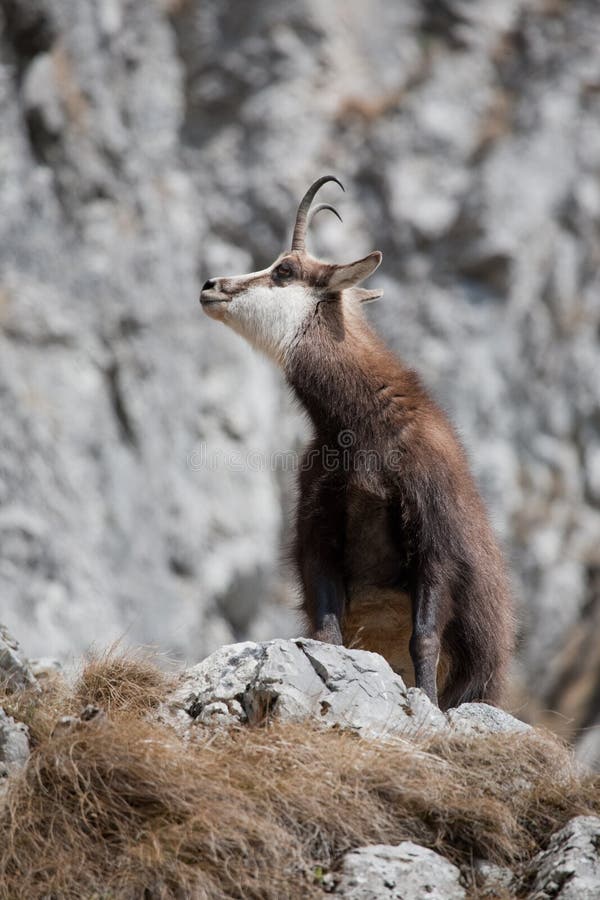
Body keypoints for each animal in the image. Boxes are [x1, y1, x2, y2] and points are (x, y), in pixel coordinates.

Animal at [200, 176, 515, 709]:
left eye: (284, 270)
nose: (210, 286)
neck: (362, 426)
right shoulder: (319, 534)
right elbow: (328, 633)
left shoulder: (436, 542)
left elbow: (423, 637)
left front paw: (425, 702)